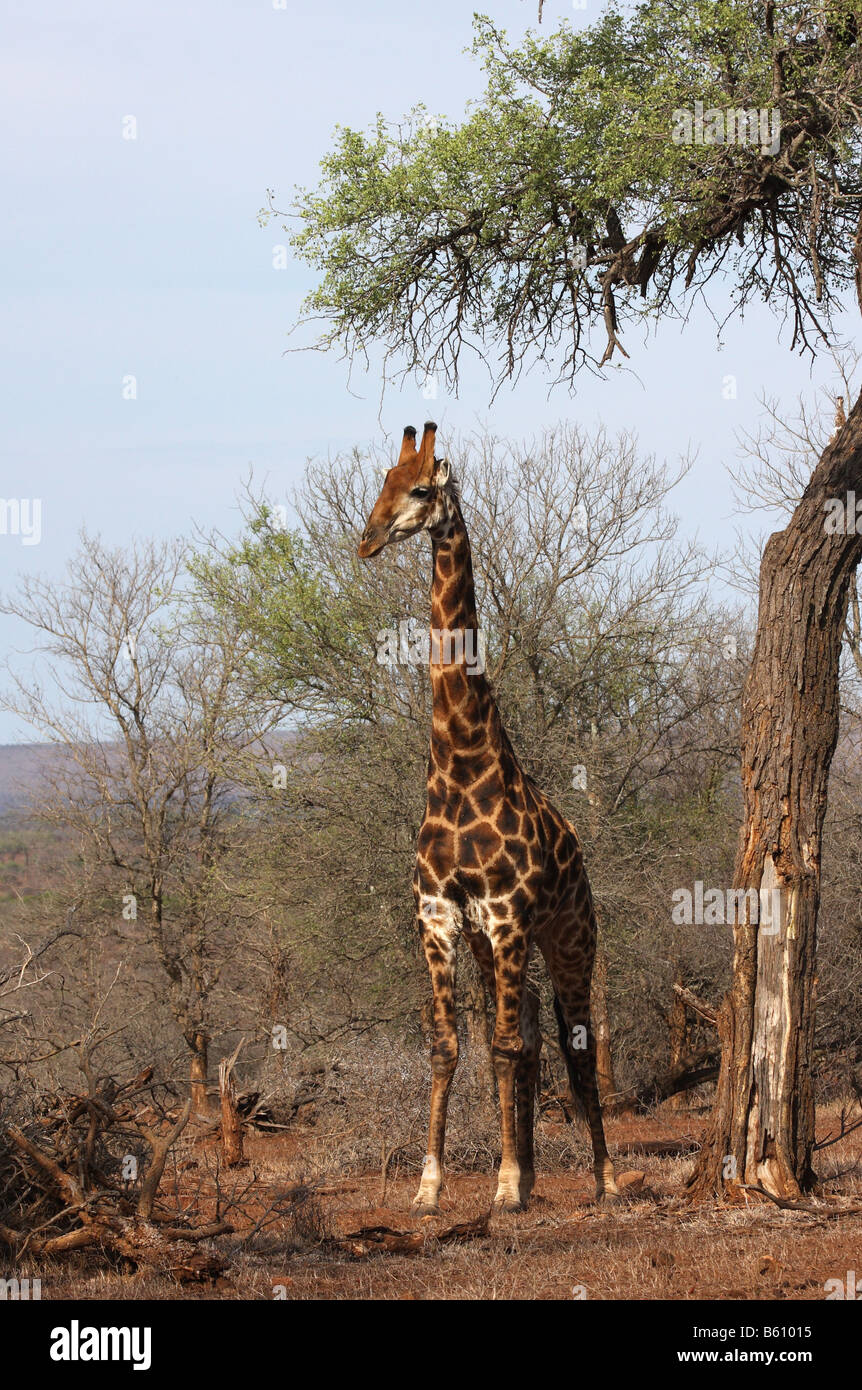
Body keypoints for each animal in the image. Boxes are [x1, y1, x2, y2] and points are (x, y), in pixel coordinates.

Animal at [358, 422, 618, 1214]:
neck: (459, 768)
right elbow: (451, 1046)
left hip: (568, 939)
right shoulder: (442, 915)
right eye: (381, 481)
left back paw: (604, 1176)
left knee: (573, 1044)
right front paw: (432, 1184)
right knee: (528, 1033)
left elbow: (502, 1046)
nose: (367, 539)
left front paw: (501, 1185)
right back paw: (531, 1172)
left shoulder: (506, 913)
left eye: (420, 489)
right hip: (496, 946)